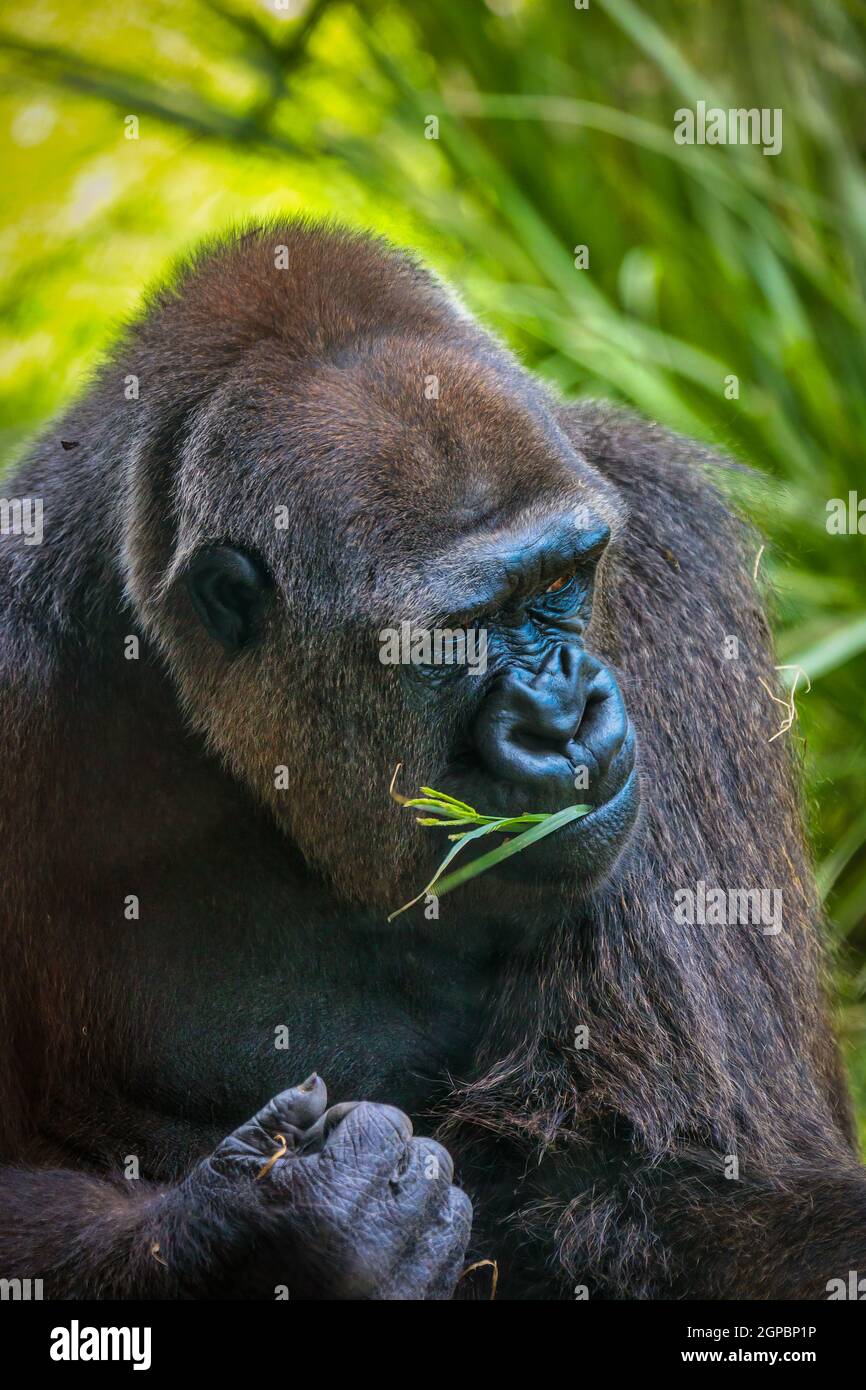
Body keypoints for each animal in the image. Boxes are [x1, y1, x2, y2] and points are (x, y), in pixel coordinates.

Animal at [0, 219, 863, 1300]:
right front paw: (265, 1231)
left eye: (565, 579)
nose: (565, 714)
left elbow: (671, 1187)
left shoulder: (670, 556)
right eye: (457, 634)